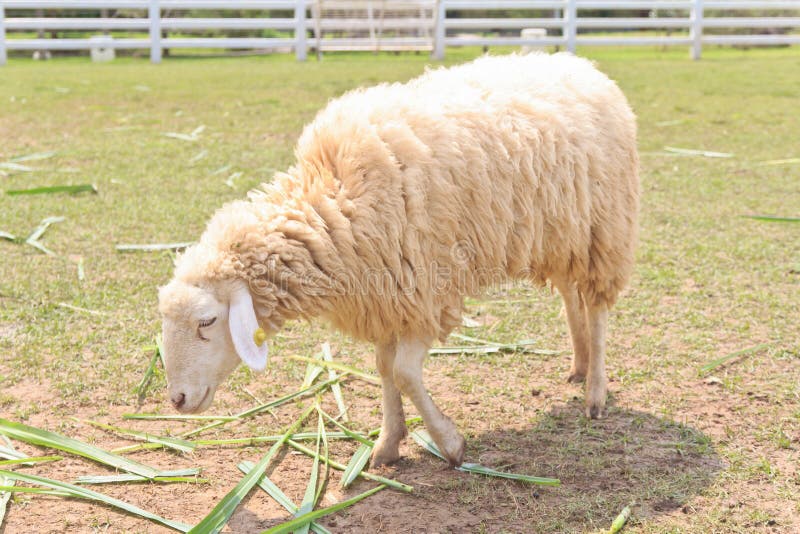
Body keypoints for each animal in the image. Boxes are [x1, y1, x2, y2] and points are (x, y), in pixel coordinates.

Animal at [158, 52, 639, 467]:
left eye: (206, 321)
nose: (176, 400)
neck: (332, 201)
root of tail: (580, 64)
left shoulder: (426, 290)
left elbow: (405, 374)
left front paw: (450, 443)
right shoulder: (386, 294)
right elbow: (384, 370)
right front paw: (389, 442)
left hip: (604, 229)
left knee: (596, 308)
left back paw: (595, 392)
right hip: (563, 233)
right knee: (571, 295)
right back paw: (580, 365)